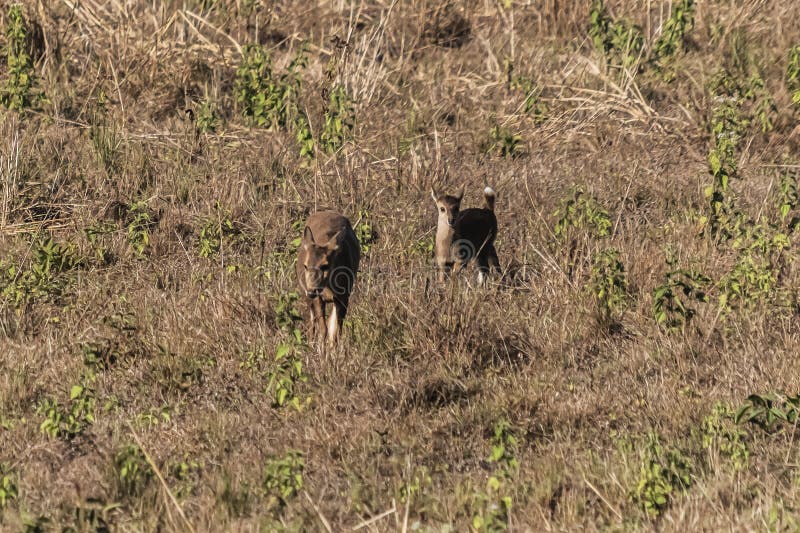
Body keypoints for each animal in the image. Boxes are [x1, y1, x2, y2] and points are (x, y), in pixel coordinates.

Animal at [295, 210, 360, 346]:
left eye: (325, 265)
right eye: (305, 265)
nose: (311, 291)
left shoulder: (344, 296)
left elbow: (335, 331)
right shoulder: (318, 298)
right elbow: (323, 329)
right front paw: (321, 349)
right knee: (312, 324)